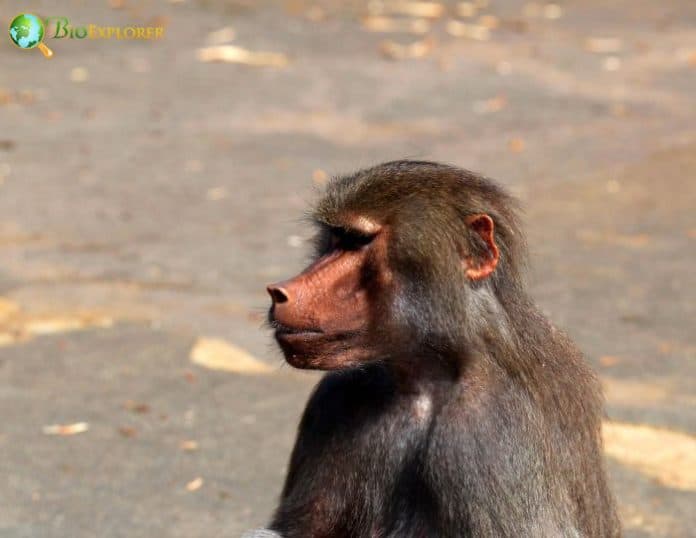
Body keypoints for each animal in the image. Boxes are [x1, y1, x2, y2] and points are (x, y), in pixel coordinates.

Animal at [265, 160, 621, 538]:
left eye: (358, 241)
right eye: (336, 238)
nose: (281, 291)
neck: (432, 374)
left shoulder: (486, 433)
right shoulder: (335, 395)